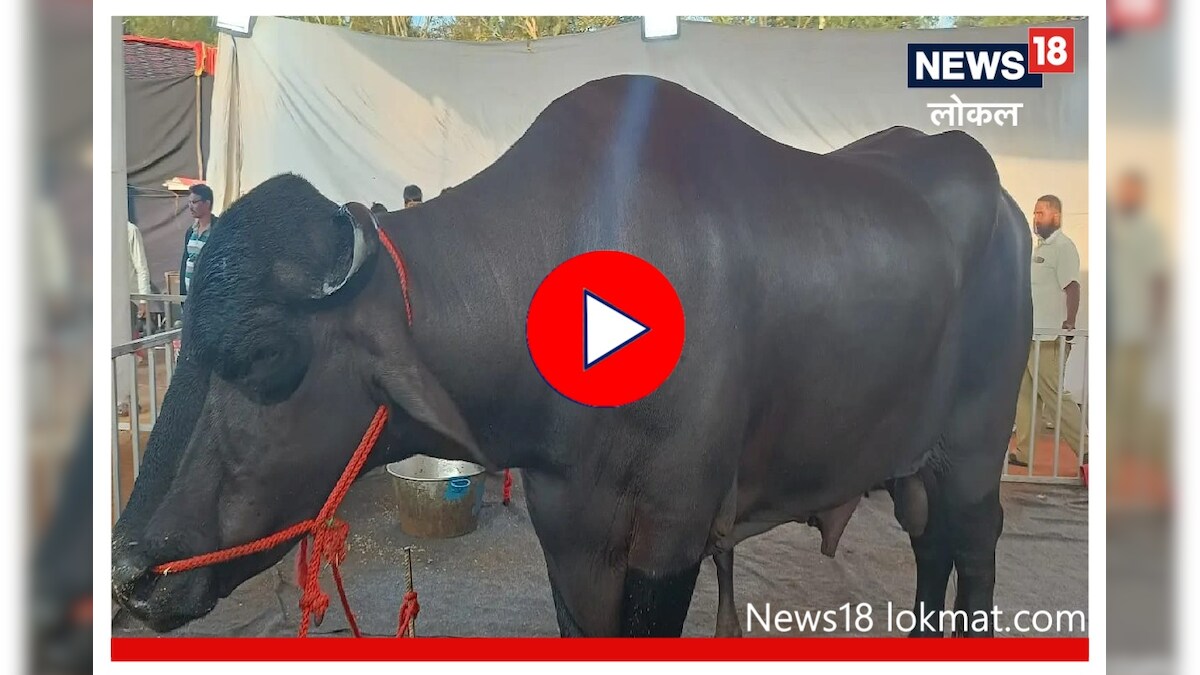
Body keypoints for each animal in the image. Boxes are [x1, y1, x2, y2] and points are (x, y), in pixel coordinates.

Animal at [111, 74, 1031, 637]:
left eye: (264, 352)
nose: (129, 571)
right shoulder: (572, 533)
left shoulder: (673, 534)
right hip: (914, 466)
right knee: (932, 548)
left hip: (976, 458)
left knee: (979, 554)